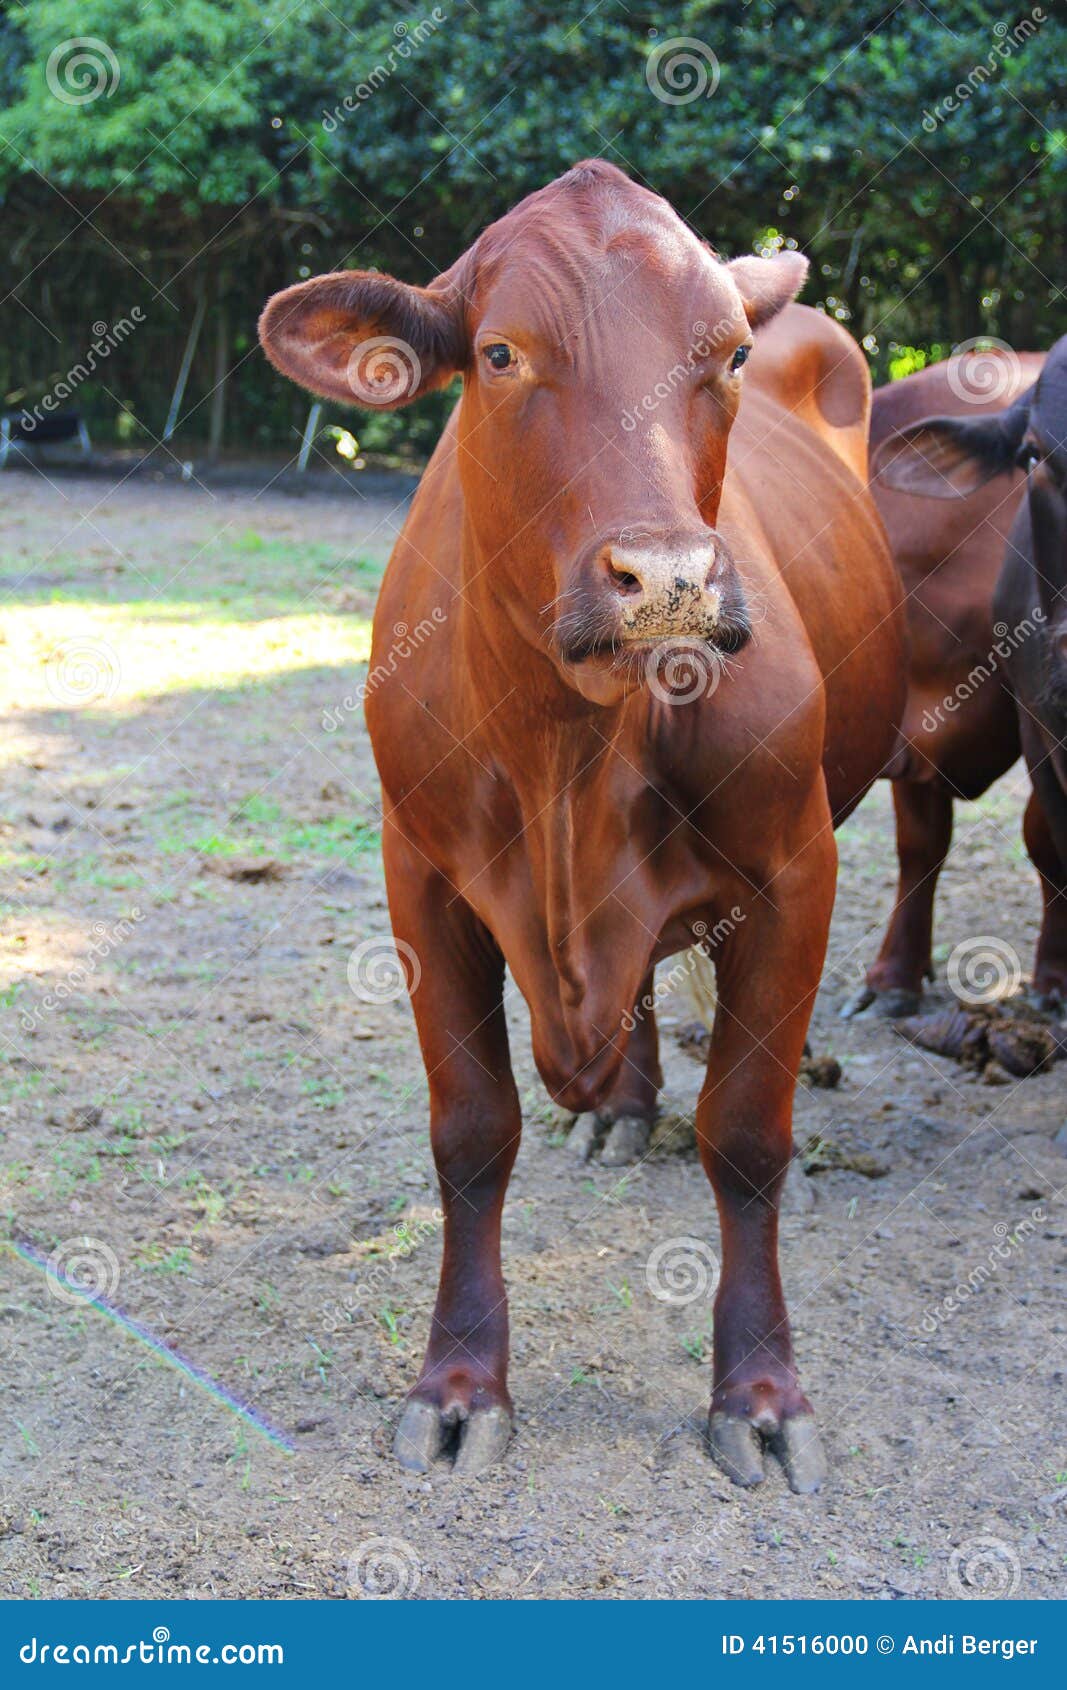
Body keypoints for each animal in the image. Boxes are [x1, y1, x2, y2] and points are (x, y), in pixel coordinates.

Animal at [259, 161, 906, 1492]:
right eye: (500, 353)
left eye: (727, 352)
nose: (666, 579)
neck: (568, 753)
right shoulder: (420, 880)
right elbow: (469, 1131)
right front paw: (458, 1384)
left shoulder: (794, 870)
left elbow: (745, 1136)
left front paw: (760, 1396)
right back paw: (619, 1105)